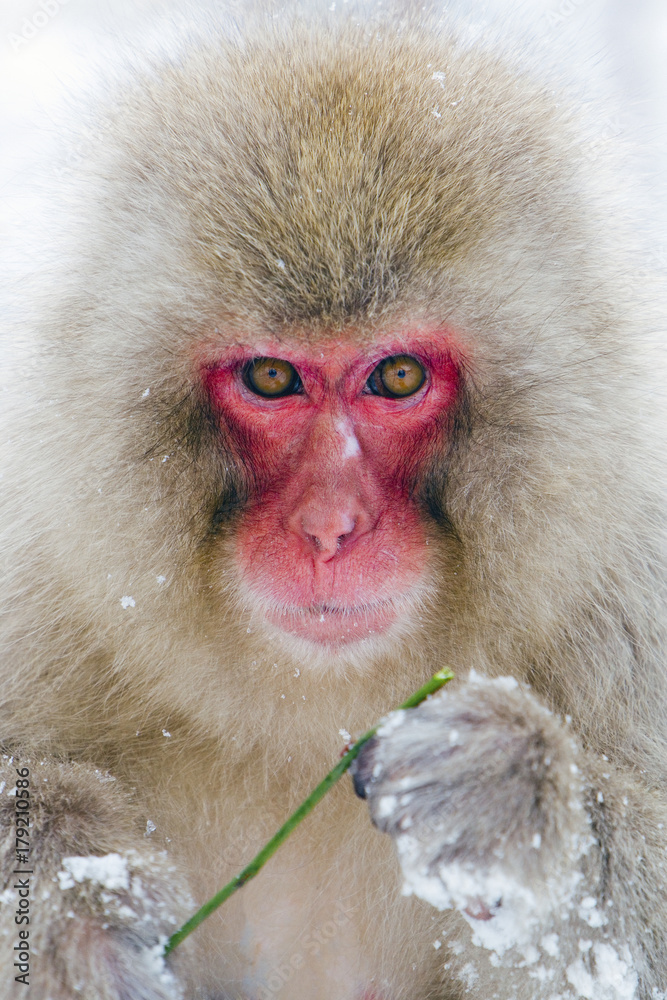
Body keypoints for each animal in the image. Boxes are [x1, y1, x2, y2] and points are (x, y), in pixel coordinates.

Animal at [0, 8, 666, 1000]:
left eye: (397, 377)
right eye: (272, 378)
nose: (328, 528)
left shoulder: (635, 586)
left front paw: (510, 792)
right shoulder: (37, 562)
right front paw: (80, 908)